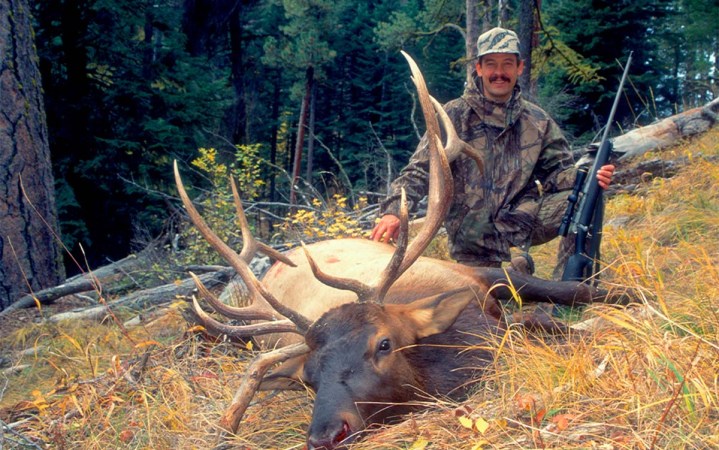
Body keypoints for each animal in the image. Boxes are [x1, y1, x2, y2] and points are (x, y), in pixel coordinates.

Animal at [174, 52, 624, 450]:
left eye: (384, 344)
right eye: (308, 378)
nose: (325, 435)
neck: (471, 331)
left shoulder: (480, 275)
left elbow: (574, 292)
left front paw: (621, 302)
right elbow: (538, 320)